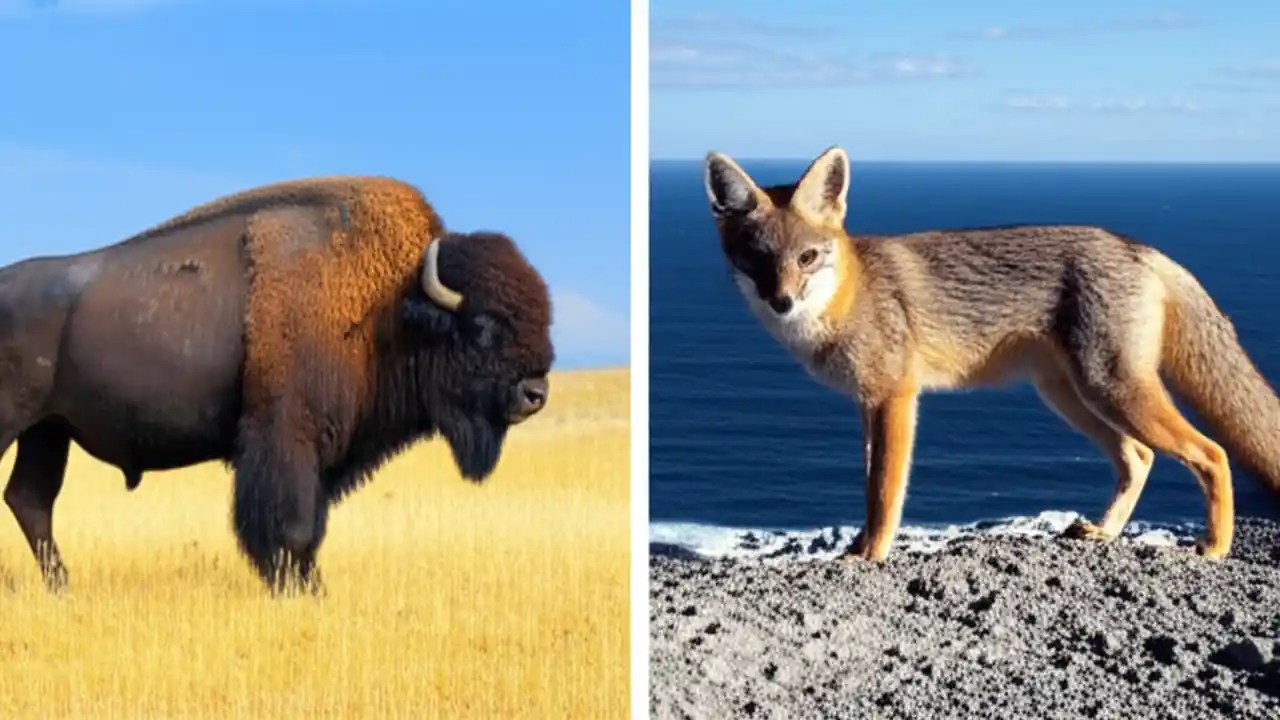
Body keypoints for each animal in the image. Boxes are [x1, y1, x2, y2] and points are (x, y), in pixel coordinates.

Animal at [0, 177, 554, 593]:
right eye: (482, 326)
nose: (535, 394)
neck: (391, 305)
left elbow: (313, 527)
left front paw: (313, 588)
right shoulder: (286, 437)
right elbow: (291, 525)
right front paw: (292, 587)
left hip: (48, 431)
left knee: (31, 500)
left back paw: (64, 587)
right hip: (19, 425)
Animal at [703, 145, 1280, 562]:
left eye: (807, 258)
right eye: (757, 260)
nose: (781, 302)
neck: (849, 294)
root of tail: (1137, 246)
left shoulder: (895, 399)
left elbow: (884, 493)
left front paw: (870, 556)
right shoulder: (867, 404)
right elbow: (869, 487)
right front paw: (859, 548)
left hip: (1111, 390)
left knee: (1212, 453)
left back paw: (1216, 546)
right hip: (1070, 396)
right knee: (1139, 456)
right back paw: (1105, 532)